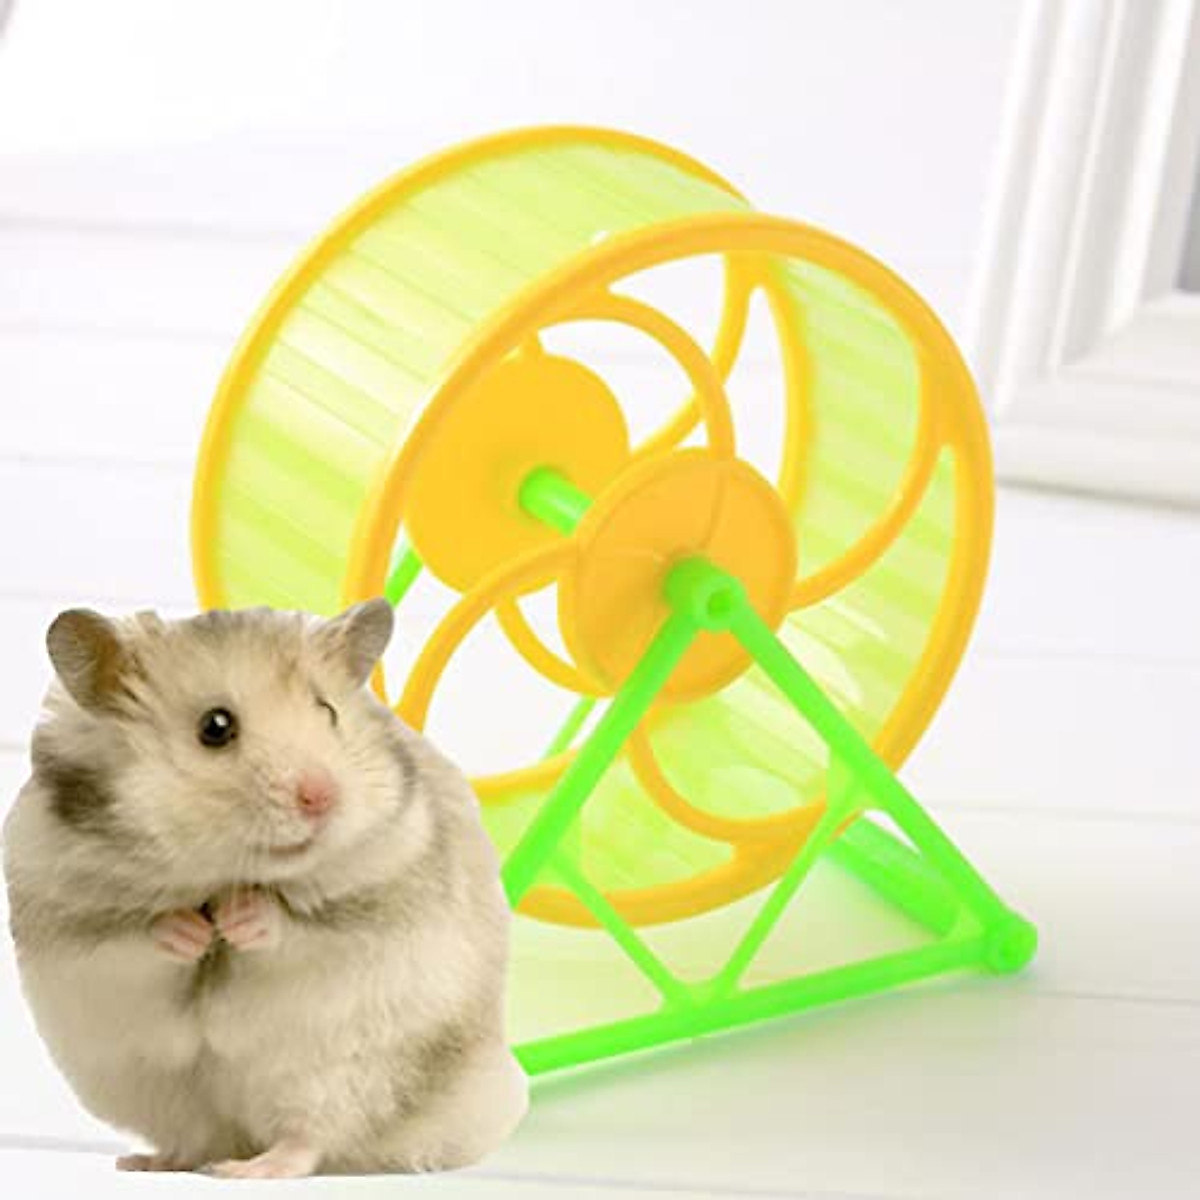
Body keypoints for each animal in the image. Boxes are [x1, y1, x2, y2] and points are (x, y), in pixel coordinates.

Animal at [1, 599, 527, 1178]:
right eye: (215, 727)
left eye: (328, 711)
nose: (323, 797)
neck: (219, 874)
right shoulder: (71, 918)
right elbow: (137, 937)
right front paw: (191, 931)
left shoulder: (375, 899)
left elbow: (295, 926)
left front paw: (240, 919)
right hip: (157, 1090)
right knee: (196, 1139)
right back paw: (148, 1162)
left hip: (340, 1075)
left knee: (307, 1139)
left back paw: (247, 1170)